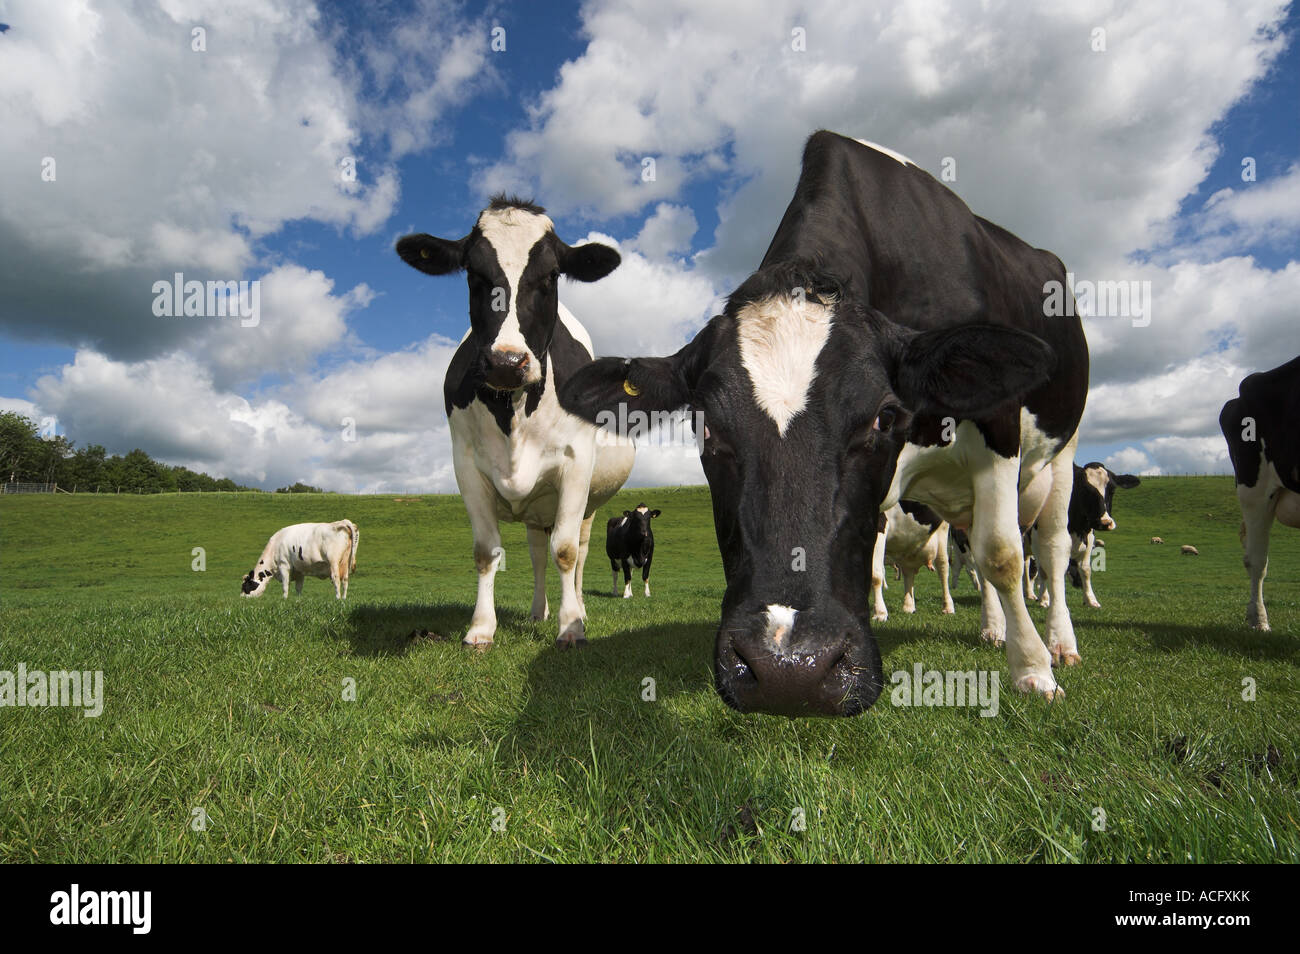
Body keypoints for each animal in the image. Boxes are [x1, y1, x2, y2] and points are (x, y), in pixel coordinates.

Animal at [396, 196, 635, 648]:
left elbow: (566, 551)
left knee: (578, 550)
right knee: (538, 552)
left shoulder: (576, 466)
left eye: (552, 275)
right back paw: (539, 611)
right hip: (536, 510)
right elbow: (486, 551)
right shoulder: (467, 466)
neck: (514, 413)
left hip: (591, 503)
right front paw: (481, 628)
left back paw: (578, 608)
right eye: (473, 273)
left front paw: (572, 627)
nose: (507, 362)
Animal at [560, 131, 1088, 716]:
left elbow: (1003, 555)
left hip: (1064, 451)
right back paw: (993, 628)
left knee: (1049, 547)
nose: (788, 670)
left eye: (884, 415)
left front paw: (1033, 670)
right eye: (706, 427)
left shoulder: (998, 426)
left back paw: (1059, 643)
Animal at [1026, 463, 1140, 608]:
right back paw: (1030, 594)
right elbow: (1043, 571)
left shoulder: (1089, 537)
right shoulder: (1037, 540)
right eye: (1084, 490)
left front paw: (1091, 600)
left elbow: (1086, 570)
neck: (1075, 527)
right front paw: (1044, 599)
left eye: (1112, 490)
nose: (1104, 523)